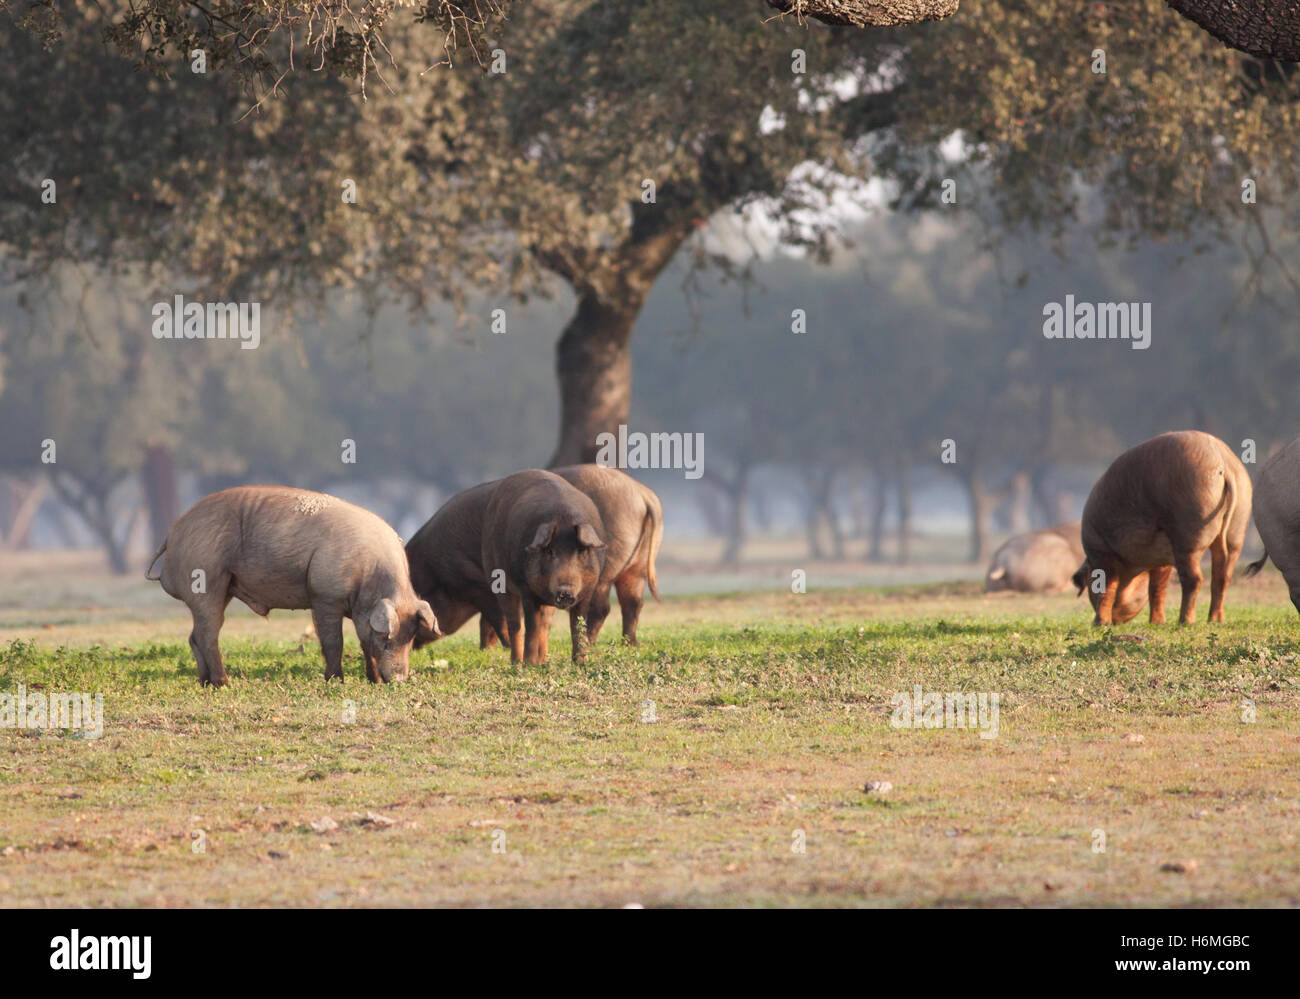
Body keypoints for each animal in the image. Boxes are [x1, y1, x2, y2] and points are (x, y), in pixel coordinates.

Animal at [146, 486, 439, 686]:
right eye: (387, 639)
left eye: (411, 638)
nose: (399, 679)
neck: (369, 577)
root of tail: (172, 532)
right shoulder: (324, 595)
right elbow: (334, 641)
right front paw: (336, 681)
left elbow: (363, 642)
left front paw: (373, 681)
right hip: (206, 579)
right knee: (207, 635)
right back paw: (223, 683)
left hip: (221, 587)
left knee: (196, 635)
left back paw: (206, 682)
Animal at [481, 469, 607, 665]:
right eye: (549, 550)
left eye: (580, 550)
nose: (565, 591)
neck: (563, 517)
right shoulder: (526, 588)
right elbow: (531, 625)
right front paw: (529, 665)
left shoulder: (588, 589)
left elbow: (578, 625)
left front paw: (581, 663)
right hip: (497, 580)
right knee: (515, 624)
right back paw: (518, 663)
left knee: (546, 625)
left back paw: (544, 661)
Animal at [552, 464, 662, 646]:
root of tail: (642, 494)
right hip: (638, 565)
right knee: (633, 601)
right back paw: (630, 643)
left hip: (604, 567)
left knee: (601, 608)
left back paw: (589, 642)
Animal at [1070, 431, 1251, 625]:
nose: (1117, 621)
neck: (1135, 567)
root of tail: (1224, 463)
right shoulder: (1162, 560)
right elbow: (1157, 588)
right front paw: (1157, 623)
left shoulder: (1100, 550)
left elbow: (1106, 587)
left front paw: (1099, 624)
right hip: (1238, 522)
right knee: (1222, 575)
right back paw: (1215, 620)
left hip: (1190, 528)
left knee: (1194, 579)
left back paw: (1185, 622)